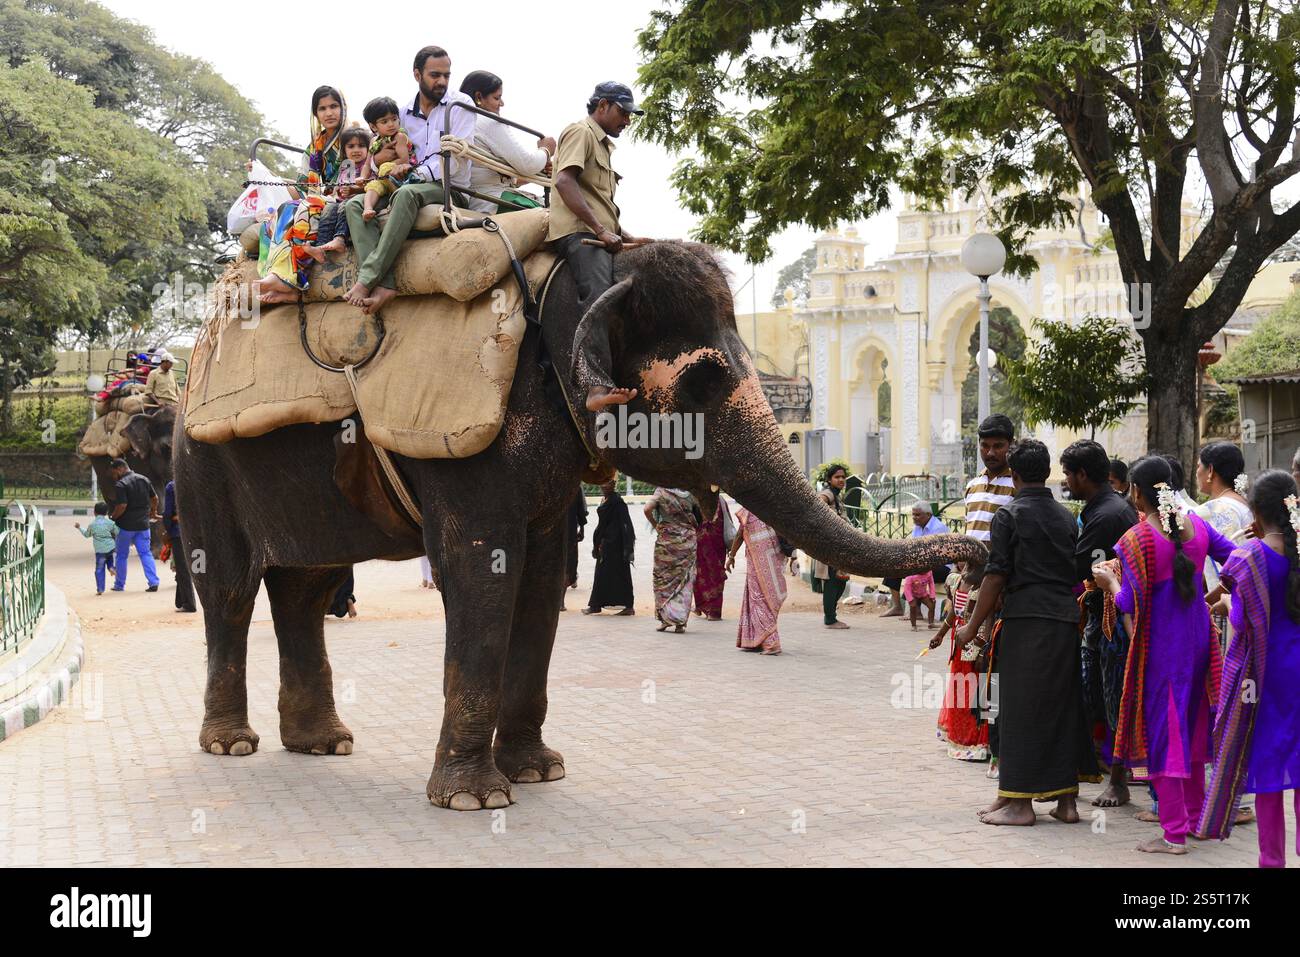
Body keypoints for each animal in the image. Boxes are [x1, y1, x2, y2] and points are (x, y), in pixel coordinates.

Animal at [174, 241, 985, 811]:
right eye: (703, 382)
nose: (974, 558)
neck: (576, 273)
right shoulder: (470, 451)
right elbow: (481, 572)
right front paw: (475, 798)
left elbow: (536, 581)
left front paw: (539, 772)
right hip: (201, 466)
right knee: (232, 590)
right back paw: (234, 745)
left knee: (304, 589)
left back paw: (324, 745)